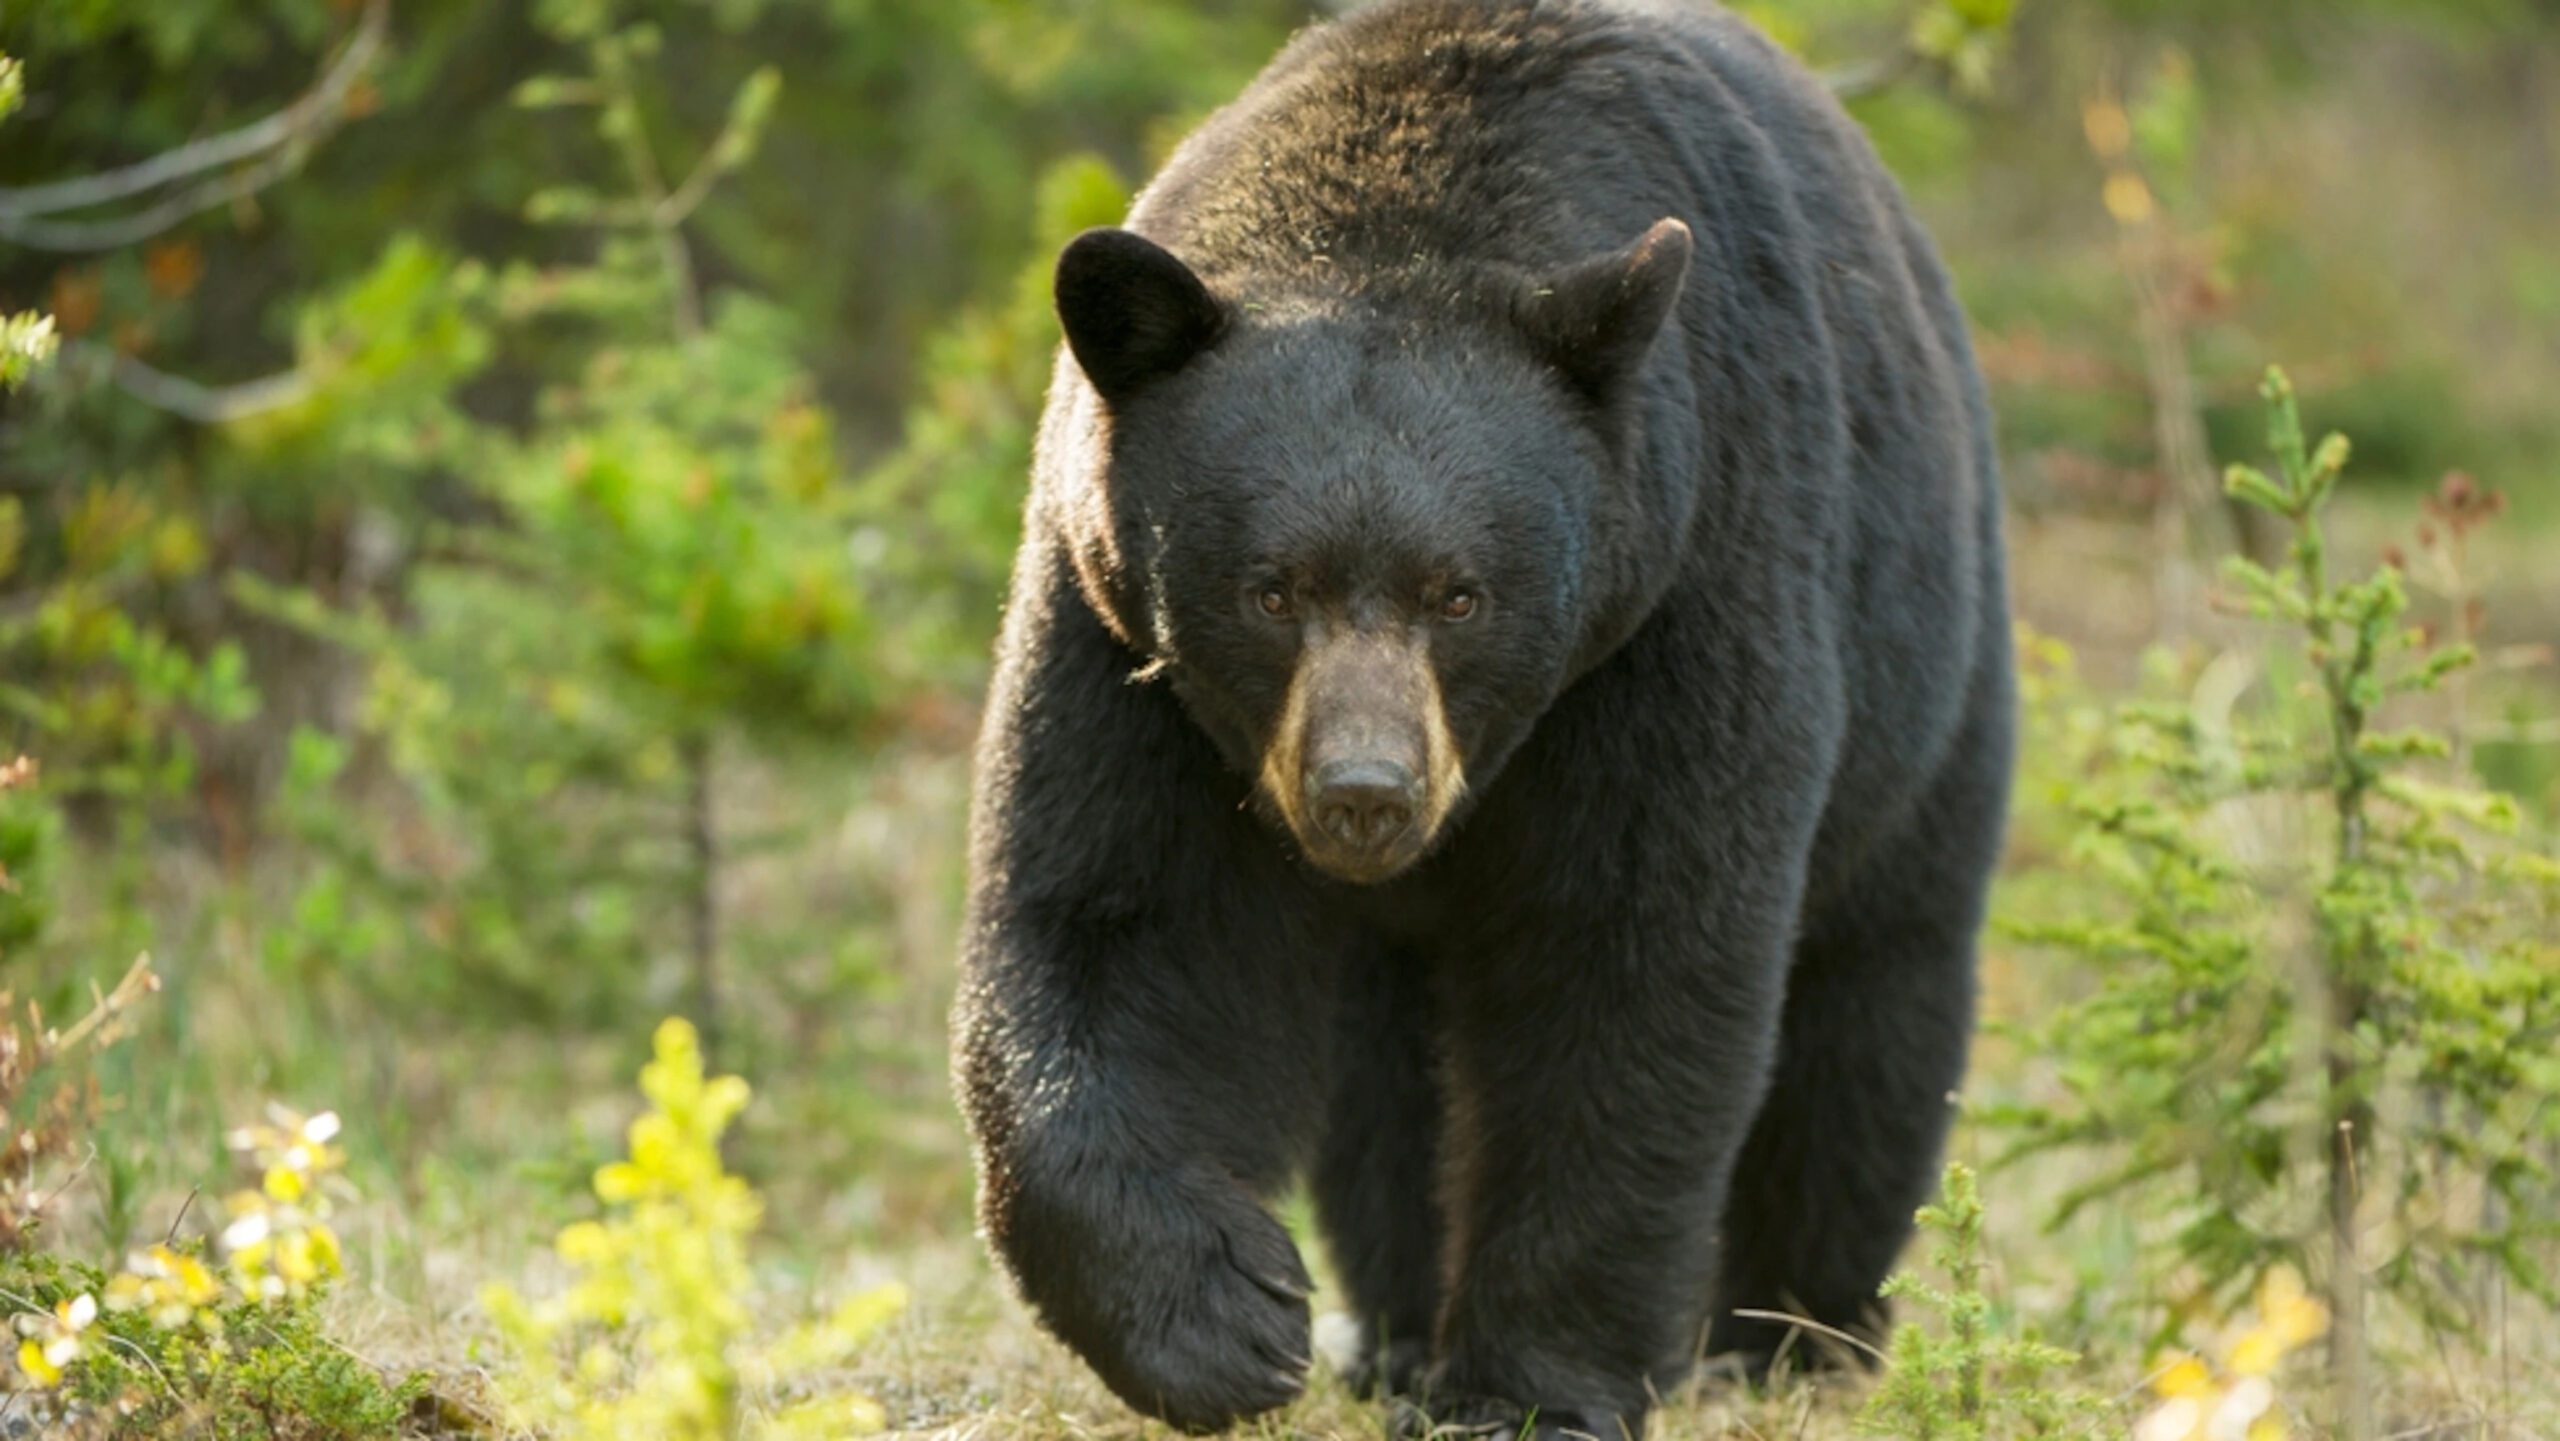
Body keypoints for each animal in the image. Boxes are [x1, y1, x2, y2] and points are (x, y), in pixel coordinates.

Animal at [951, 1, 2014, 1436]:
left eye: (1460, 593)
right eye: (1271, 587)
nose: (1363, 793)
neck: (1405, 208)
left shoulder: (1684, 585)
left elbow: (1633, 965)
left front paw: (1527, 1385)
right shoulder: (1128, 647)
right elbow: (1119, 921)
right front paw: (1225, 1316)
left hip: (1924, 675)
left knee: (1873, 1006)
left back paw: (1791, 1335)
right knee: (1388, 1079)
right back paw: (1397, 1329)